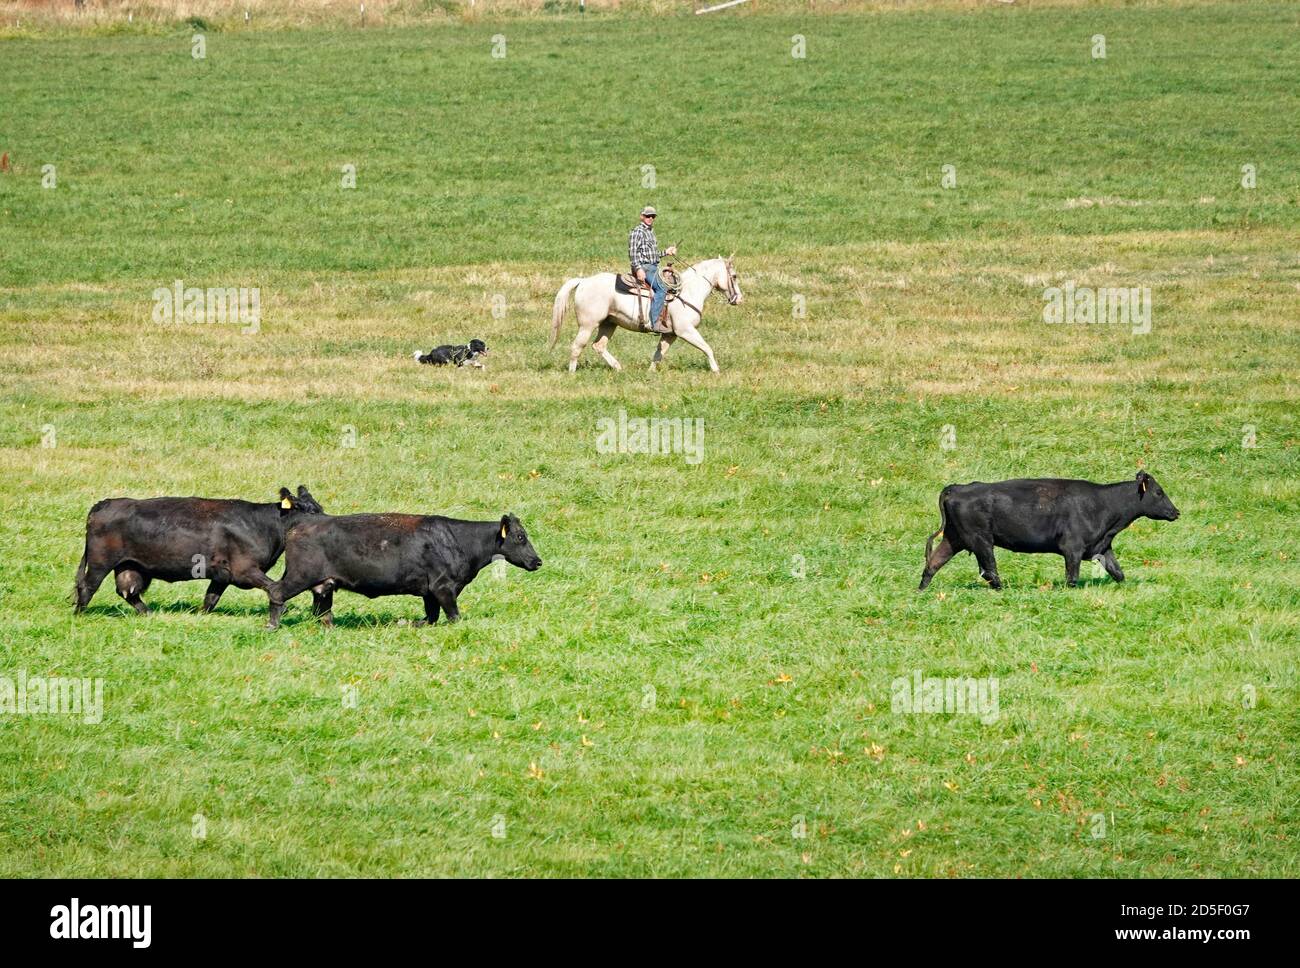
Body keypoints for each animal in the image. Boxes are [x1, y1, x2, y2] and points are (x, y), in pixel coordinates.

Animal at [74, 486, 325, 614]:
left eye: (319, 508)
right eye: (309, 511)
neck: (263, 525)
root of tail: (105, 503)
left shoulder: (223, 574)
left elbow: (210, 599)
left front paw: (199, 616)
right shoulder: (245, 569)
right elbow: (273, 587)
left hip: (130, 565)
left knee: (128, 591)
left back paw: (149, 614)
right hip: (100, 562)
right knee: (87, 587)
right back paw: (80, 615)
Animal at [264, 512, 542, 629]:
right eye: (520, 537)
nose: (537, 561)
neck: (460, 541)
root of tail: (300, 526)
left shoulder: (430, 592)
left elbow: (431, 616)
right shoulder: (443, 587)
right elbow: (453, 616)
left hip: (324, 585)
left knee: (323, 612)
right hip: (300, 576)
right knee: (276, 592)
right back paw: (272, 626)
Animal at [918, 471, 1180, 591]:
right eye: (1159, 492)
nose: (1176, 512)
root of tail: (958, 487)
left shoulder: (1102, 547)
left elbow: (1118, 573)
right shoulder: (1072, 547)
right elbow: (1072, 577)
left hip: (954, 538)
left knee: (933, 563)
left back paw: (922, 591)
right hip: (980, 539)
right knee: (989, 570)